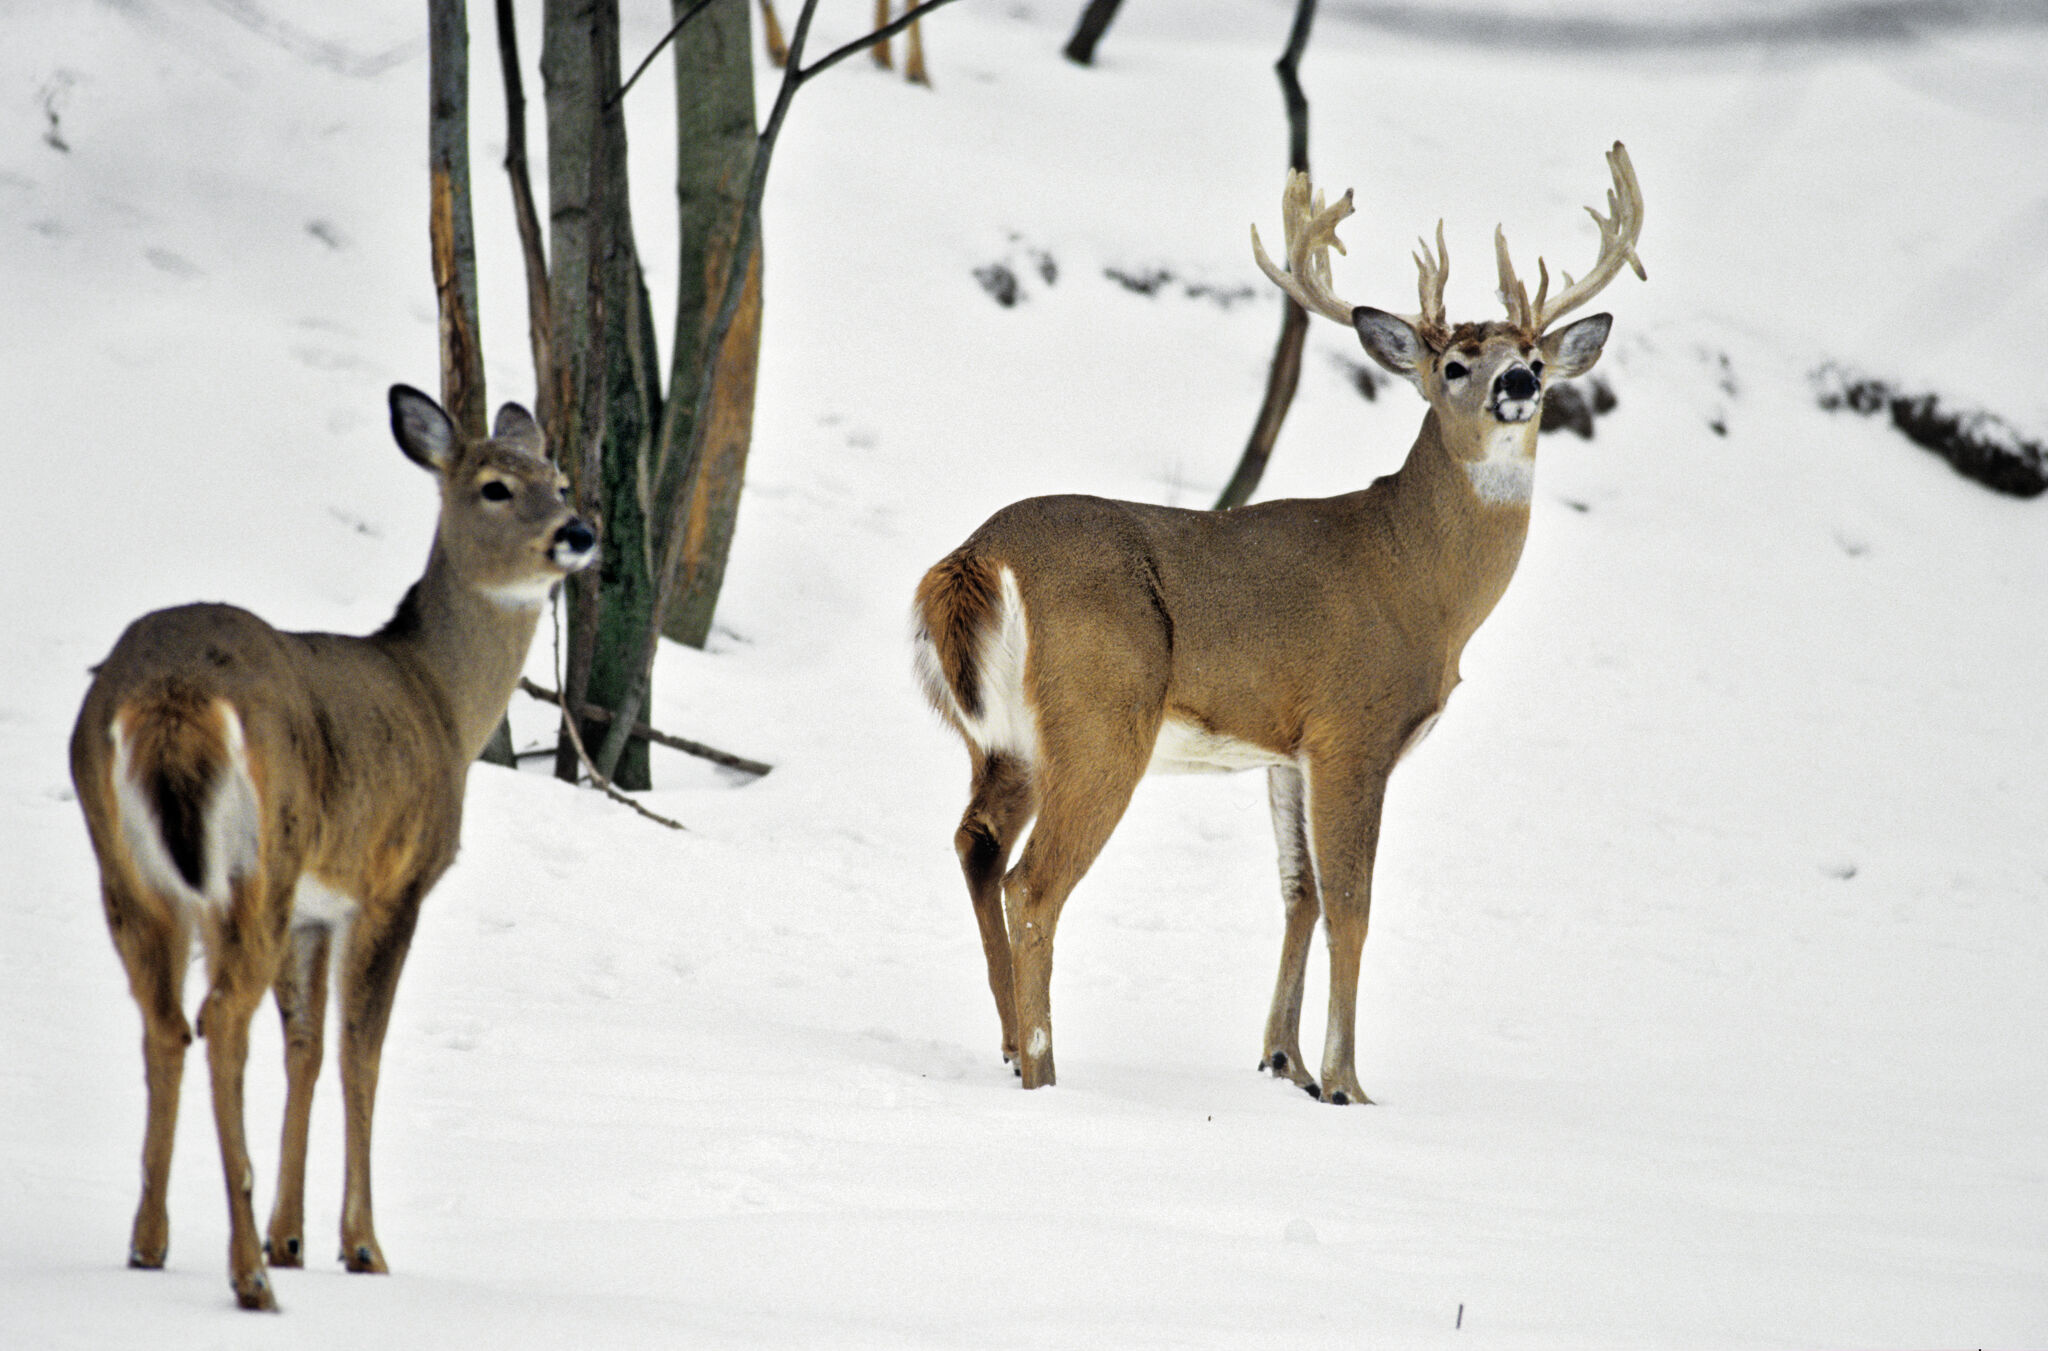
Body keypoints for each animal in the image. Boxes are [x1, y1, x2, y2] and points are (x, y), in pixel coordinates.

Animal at [68, 386, 596, 1309]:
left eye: (558, 479)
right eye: (494, 486)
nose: (578, 531)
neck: (439, 702)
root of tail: (171, 695)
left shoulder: (315, 908)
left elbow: (306, 1045)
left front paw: (292, 1234)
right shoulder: (392, 882)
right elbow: (360, 1050)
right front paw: (359, 1245)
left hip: (128, 866)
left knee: (166, 1021)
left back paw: (151, 1243)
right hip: (258, 859)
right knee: (219, 1018)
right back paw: (246, 1274)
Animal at [912, 143, 1644, 1103]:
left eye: (1530, 353)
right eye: (1454, 364)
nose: (1519, 384)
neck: (1417, 577)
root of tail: (975, 556)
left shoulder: (1284, 746)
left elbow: (1300, 892)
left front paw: (1281, 1060)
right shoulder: (1352, 728)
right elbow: (1353, 902)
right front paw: (1345, 1082)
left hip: (1005, 741)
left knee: (977, 844)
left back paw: (1006, 1044)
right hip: (1101, 716)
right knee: (1034, 884)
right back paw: (1045, 1073)